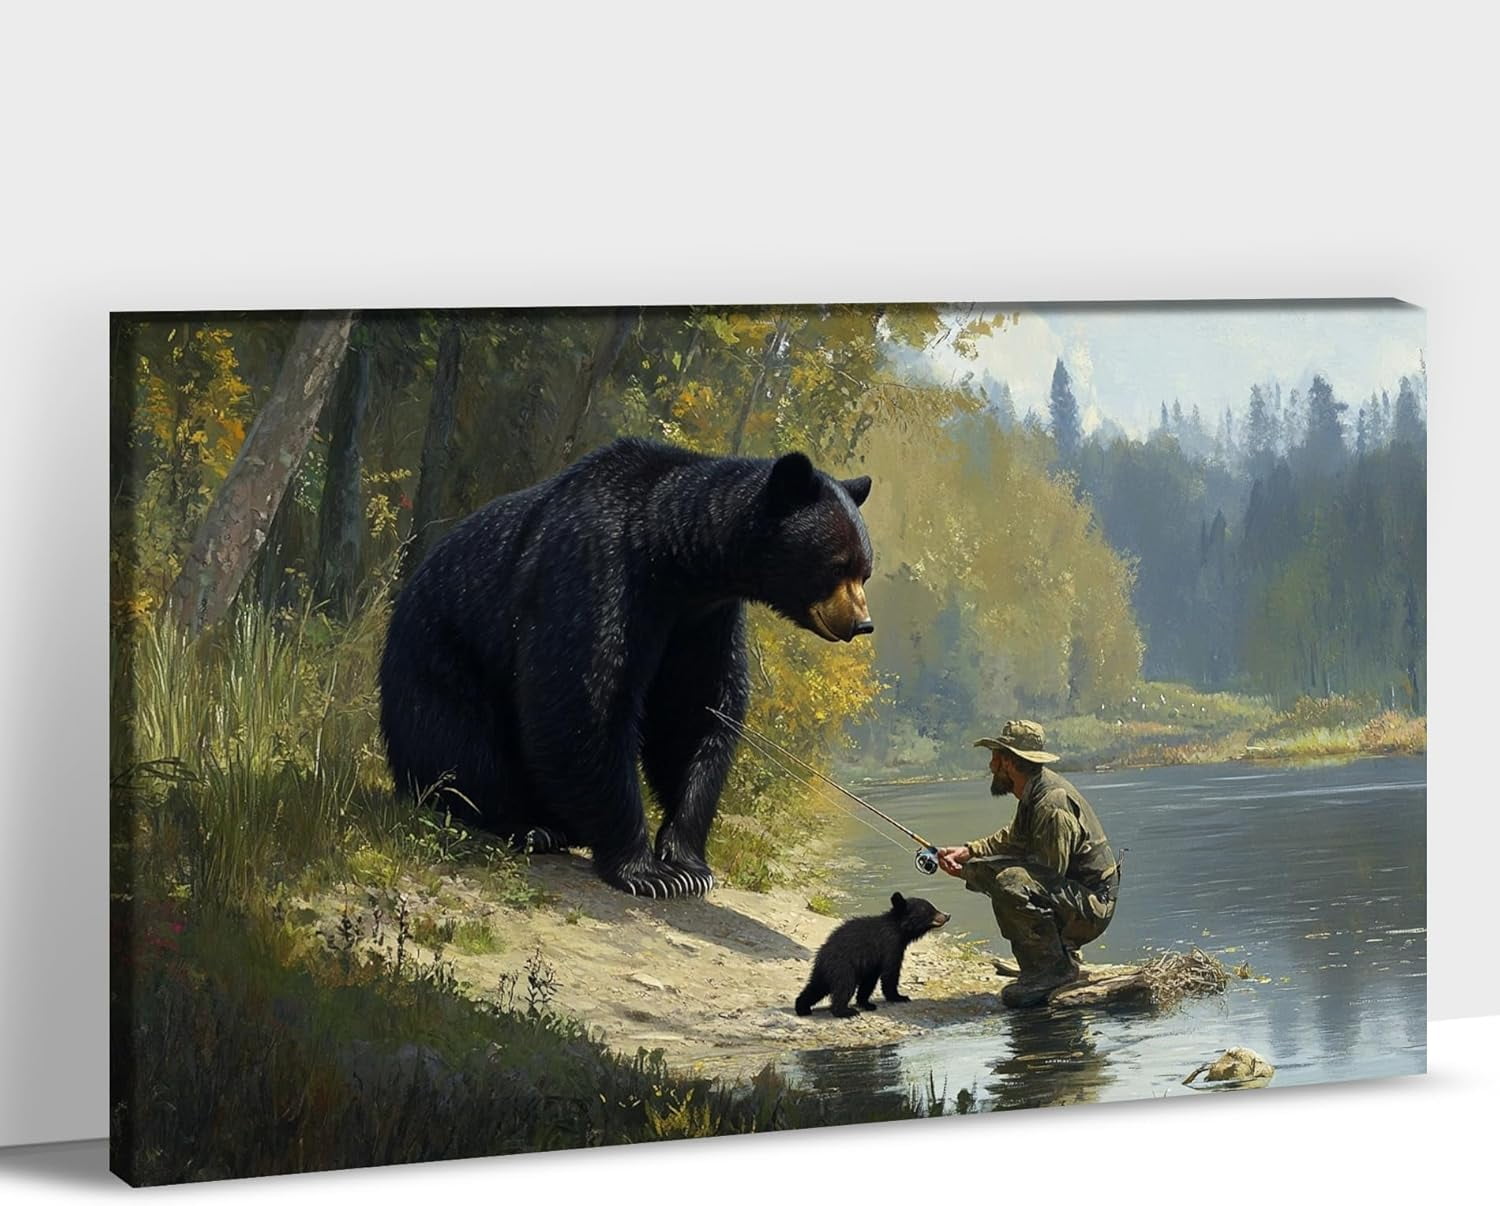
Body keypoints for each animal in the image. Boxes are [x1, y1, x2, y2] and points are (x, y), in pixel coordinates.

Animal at [378, 437, 876, 900]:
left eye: (864, 570)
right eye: (837, 565)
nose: (861, 623)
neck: (673, 553)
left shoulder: (701, 621)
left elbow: (694, 714)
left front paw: (687, 863)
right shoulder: (599, 569)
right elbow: (583, 697)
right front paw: (646, 871)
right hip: (440, 657)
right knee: (459, 745)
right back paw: (528, 824)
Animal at [795, 893, 950, 1018]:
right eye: (930, 909)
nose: (947, 915)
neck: (899, 929)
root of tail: (822, 956)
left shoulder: (872, 963)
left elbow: (869, 981)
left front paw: (866, 1003)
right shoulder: (889, 945)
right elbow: (890, 973)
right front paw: (899, 997)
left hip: (823, 972)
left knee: (815, 987)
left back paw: (802, 1007)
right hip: (843, 968)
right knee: (844, 988)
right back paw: (845, 1011)